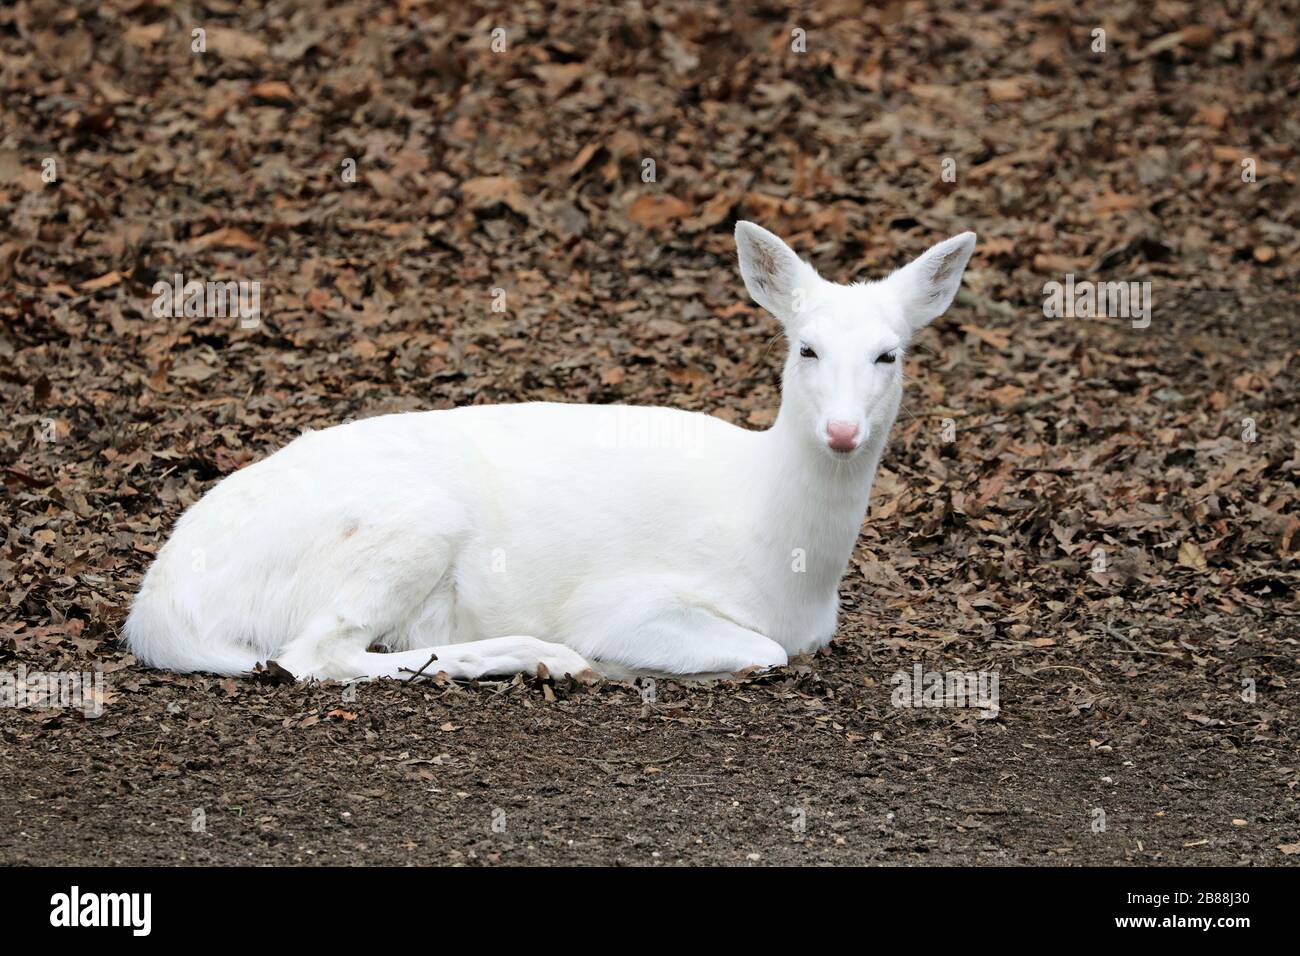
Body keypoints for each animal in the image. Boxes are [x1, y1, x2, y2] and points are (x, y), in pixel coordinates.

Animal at [124, 222, 976, 683]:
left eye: (889, 355)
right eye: (806, 347)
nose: (842, 432)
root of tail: (157, 609)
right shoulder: (626, 600)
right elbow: (762, 652)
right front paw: (623, 662)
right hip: (410, 522)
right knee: (317, 653)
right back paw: (549, 657)